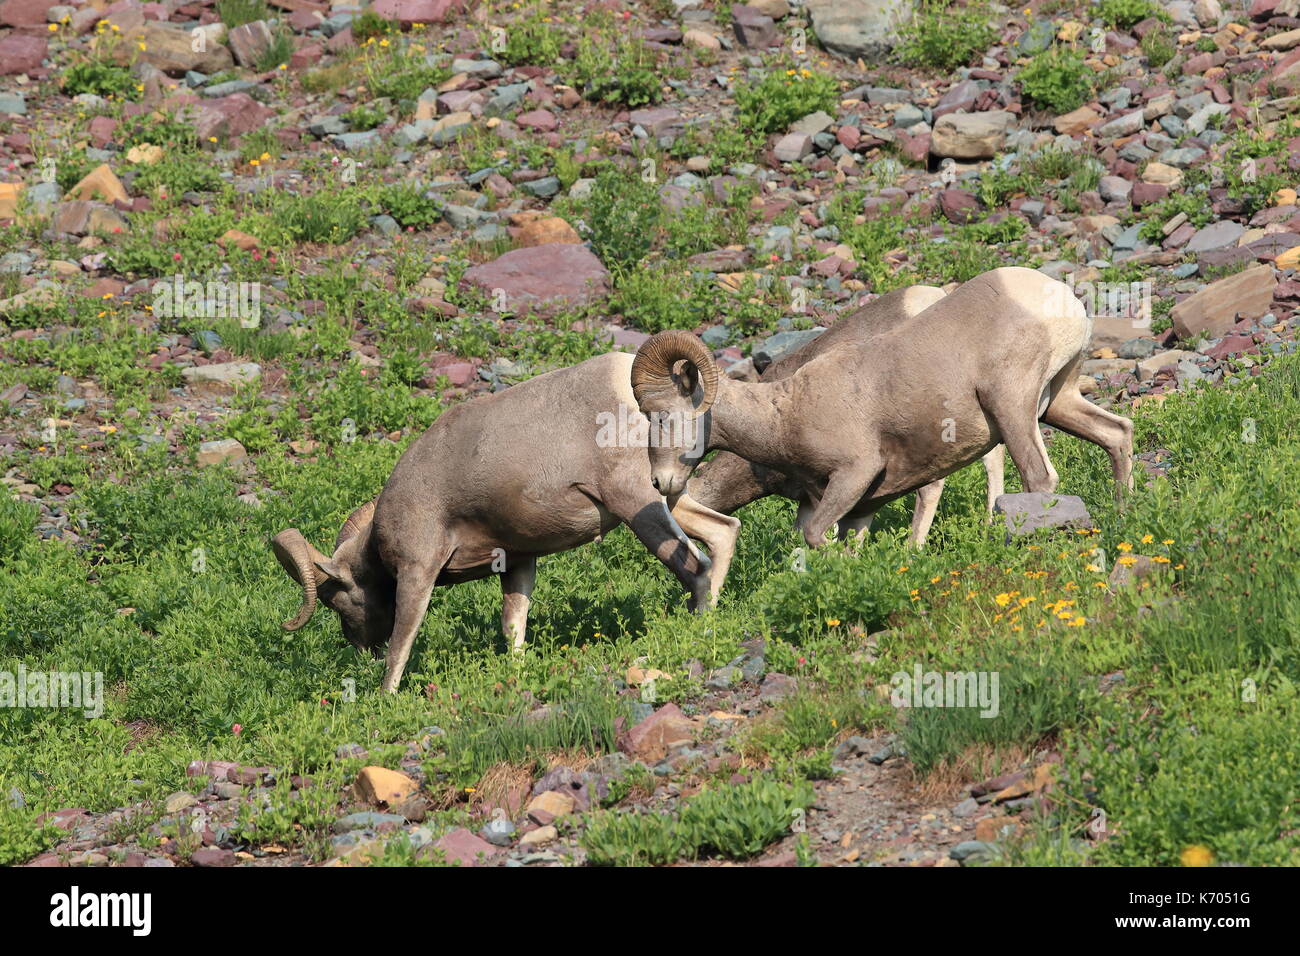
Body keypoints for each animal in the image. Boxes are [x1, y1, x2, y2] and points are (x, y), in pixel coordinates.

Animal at [271, 351, 738, 693]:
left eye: (336, 599)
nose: (359, 648)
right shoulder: (518, 562)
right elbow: (514, 627)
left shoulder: (418, 572)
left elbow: (401, 646)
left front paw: (385, 697)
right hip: (669, 495)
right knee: (722, 532)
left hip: (637, 502)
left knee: (695, 568)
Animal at [633, 266, 1133, 554]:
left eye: (661, 416)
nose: (660, 483)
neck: (783, 414)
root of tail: (1055, 295)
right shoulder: (857, 504)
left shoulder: (853, 475)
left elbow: (817, 540)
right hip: (1057, 403)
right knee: (1117, 434)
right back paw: (1123, 514)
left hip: (1011, 409)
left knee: (1038, 479)